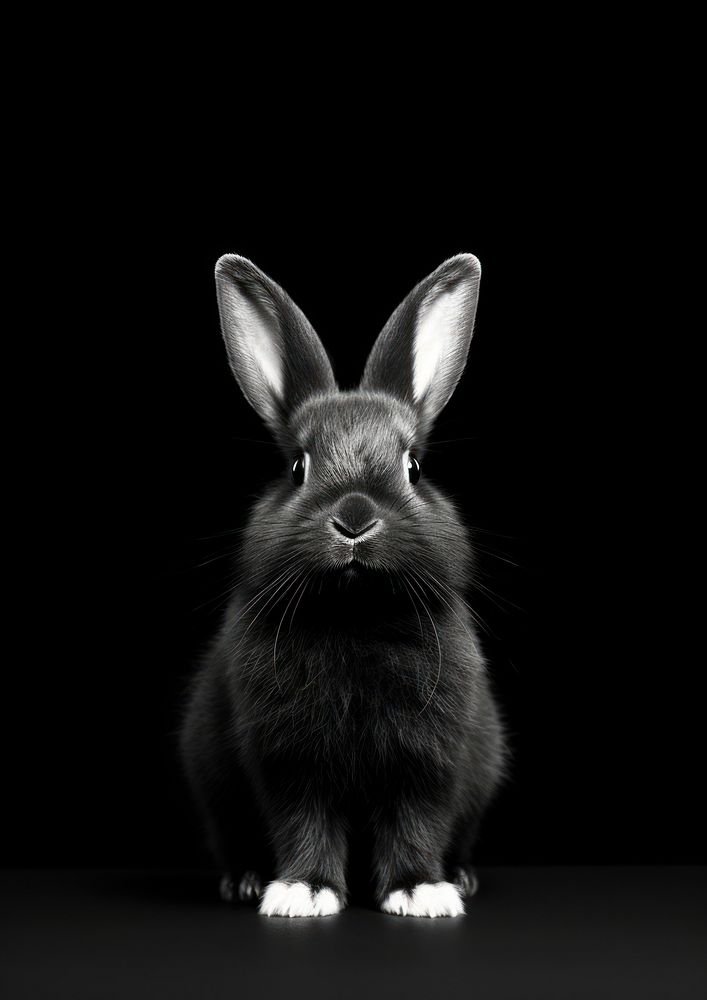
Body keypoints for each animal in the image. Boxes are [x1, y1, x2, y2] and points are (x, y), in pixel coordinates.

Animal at [179, 253, 506, 918]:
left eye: (414, 467)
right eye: (297, 467)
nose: (354, 519)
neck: (355, 616)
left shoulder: (427, 759)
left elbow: (416, 819)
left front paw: (421, 890)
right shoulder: (289, 761)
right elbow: (304, 820)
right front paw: (302, 892)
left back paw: (462, 877)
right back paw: (242, 880)